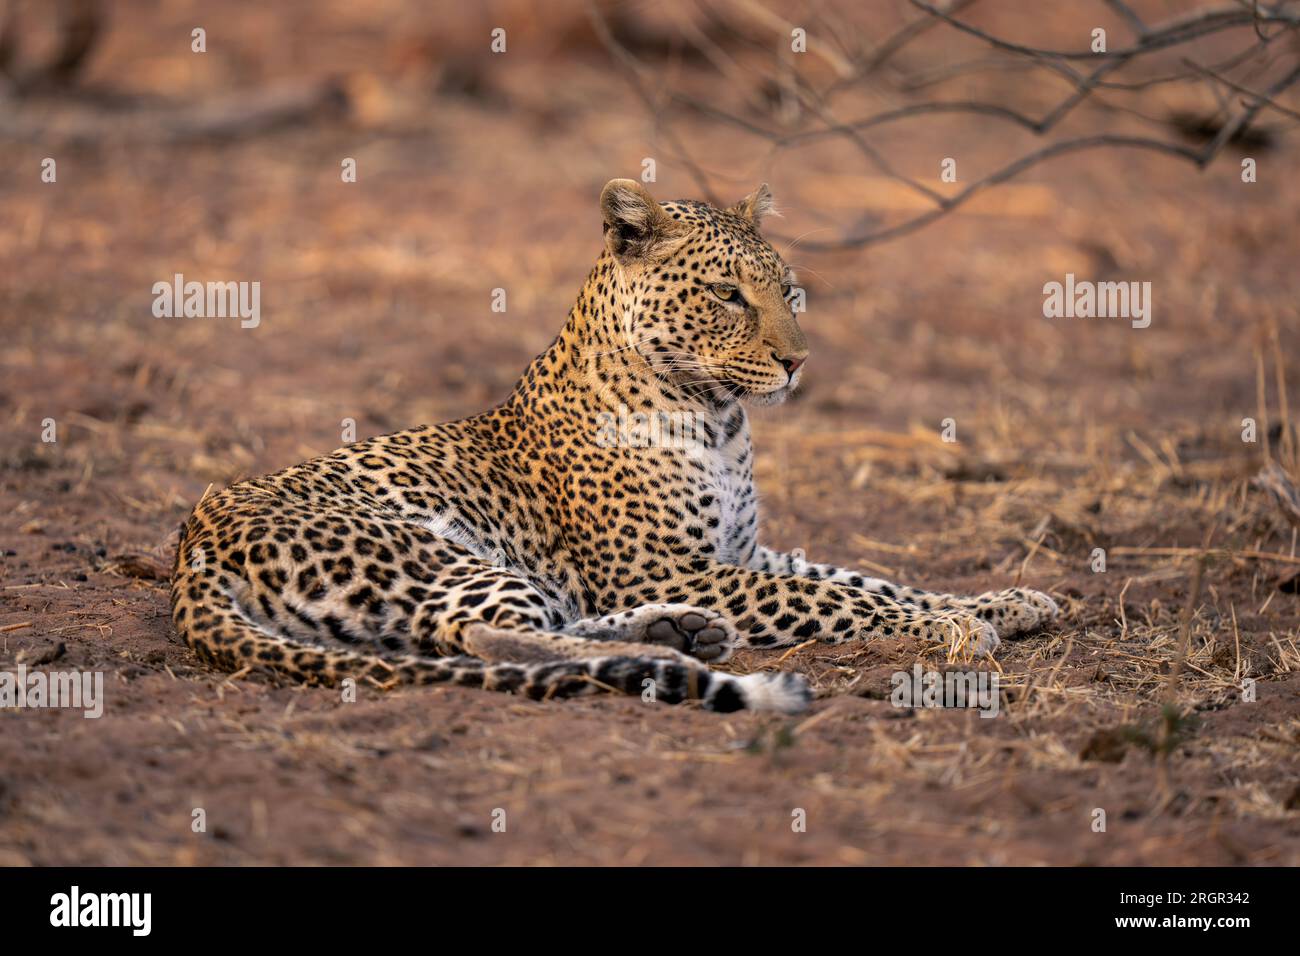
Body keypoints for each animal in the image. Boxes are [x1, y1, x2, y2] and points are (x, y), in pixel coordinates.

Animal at [170, 178, 1058, 714]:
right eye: (728, 294)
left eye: (789, 288)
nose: (798, 361)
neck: (721, 419)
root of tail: (191, 548)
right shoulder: (666, 566)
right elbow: (842, 599)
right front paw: (959, 629)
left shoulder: (741, 553)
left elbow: (869, 578)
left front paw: (1009, 600)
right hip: (433, 552)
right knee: (487, 638)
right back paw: (679, 662)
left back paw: (681, 635)